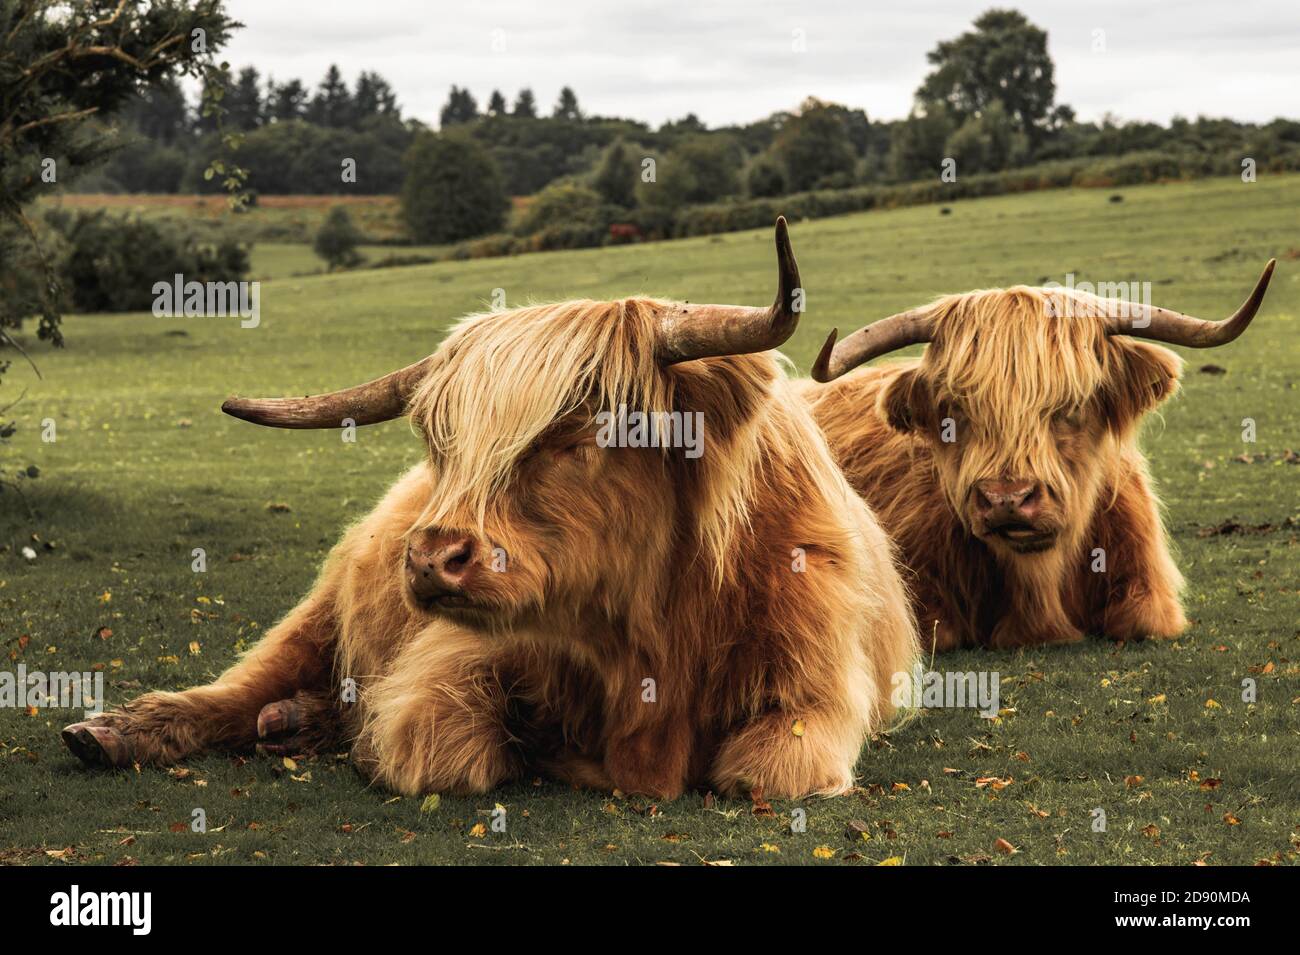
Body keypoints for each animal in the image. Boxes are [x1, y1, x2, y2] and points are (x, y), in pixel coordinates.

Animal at [62, 220, 919, 800]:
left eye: (580, 430)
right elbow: (444, 750)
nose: (431, 557)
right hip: (320, 609)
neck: (650, 631)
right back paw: (113, 732)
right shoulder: (449, 661)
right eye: (445, 445)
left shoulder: (821, 688)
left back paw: (292, 723)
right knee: (239, 686)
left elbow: (771, 770)